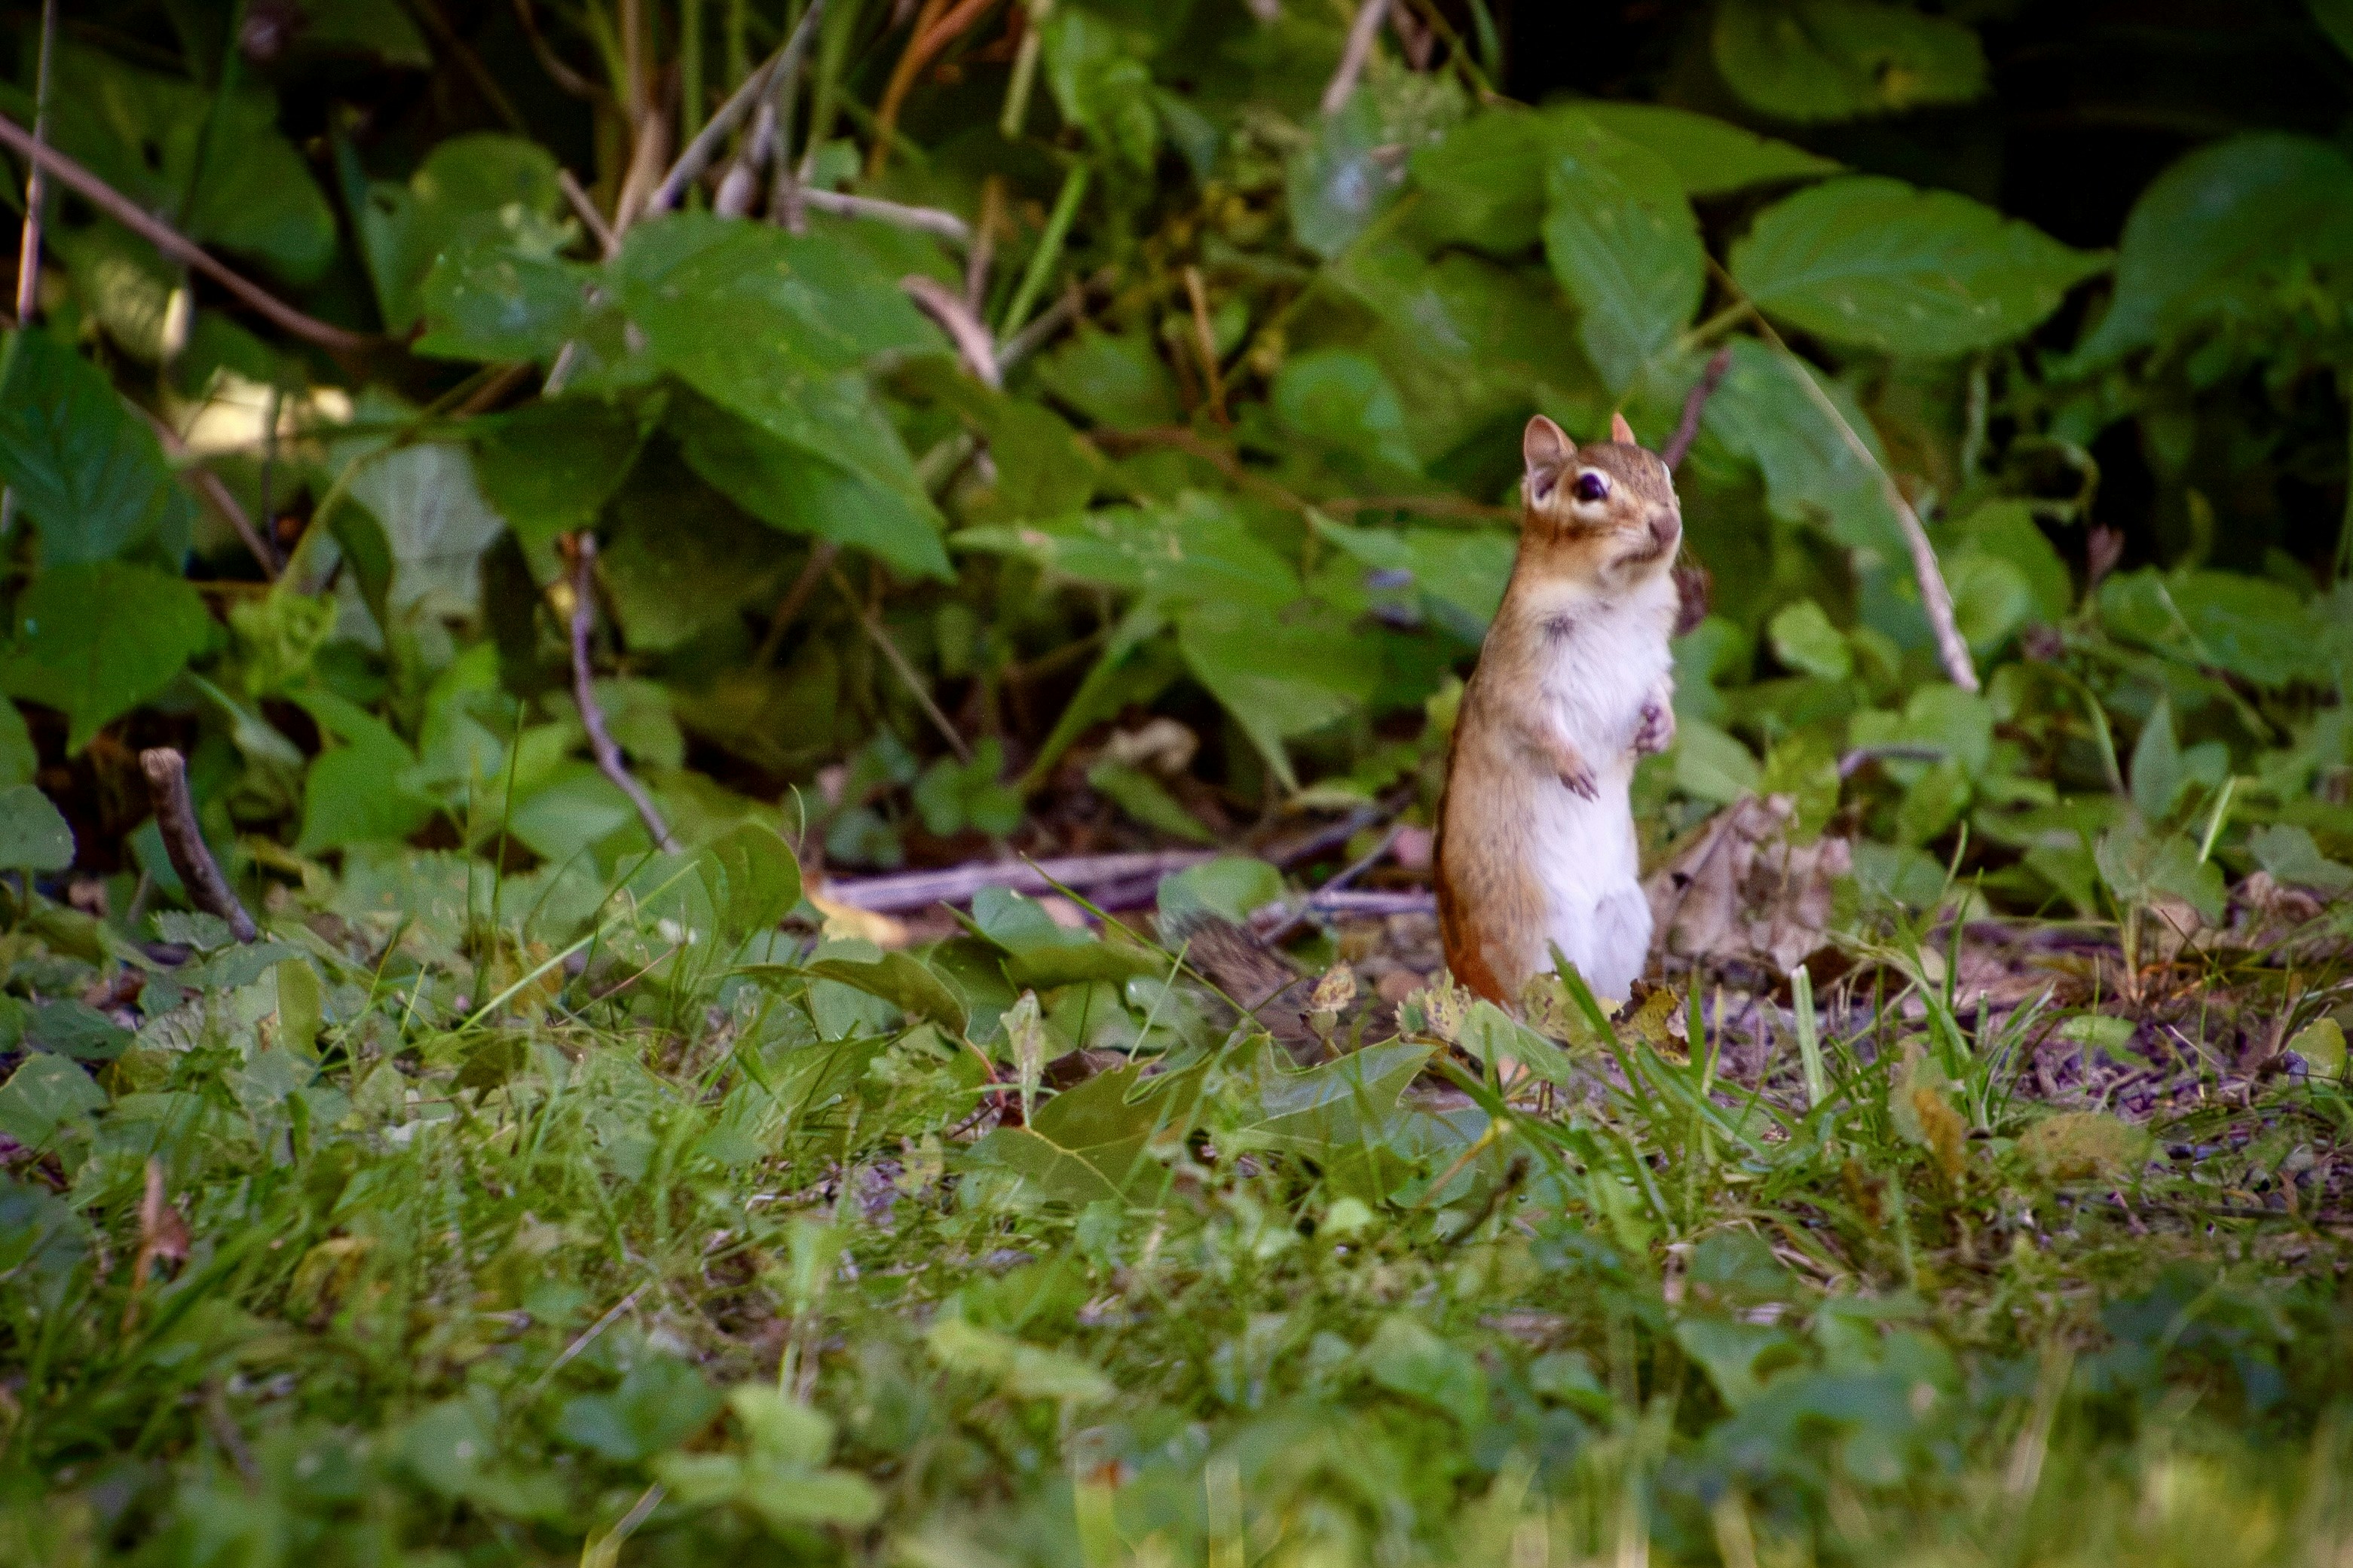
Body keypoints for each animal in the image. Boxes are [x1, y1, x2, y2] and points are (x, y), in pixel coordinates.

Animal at [1435, 411, 1682, 1010]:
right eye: (1589, 488)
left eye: (1662, 469)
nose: (1667, 523)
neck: (1619, 600)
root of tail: (1463, 978)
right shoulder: (1517, 679)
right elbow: (1532, 723)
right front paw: (1572, 766)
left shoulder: (1654, 663)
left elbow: (1660, 691)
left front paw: (1660, 728)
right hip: (1533, 931)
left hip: (1625, 918)